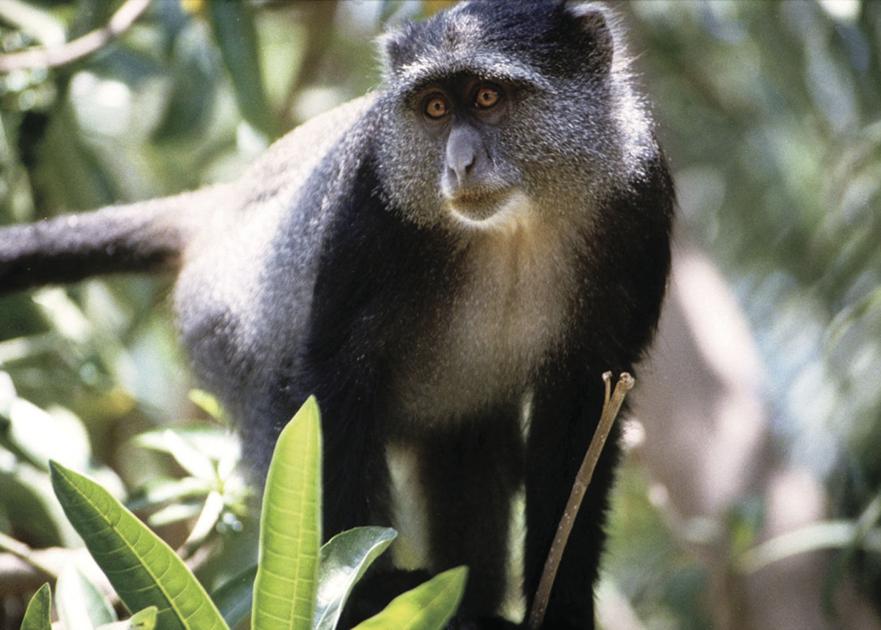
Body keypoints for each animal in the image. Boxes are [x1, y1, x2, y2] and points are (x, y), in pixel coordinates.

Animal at [0, 1, 673, 628]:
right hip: (226, 336)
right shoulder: (367, 195)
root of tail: (218, 217)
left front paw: (561, 608)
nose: (459, 162)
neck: (515, 227)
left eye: (488, 97)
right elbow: (332, 384)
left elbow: (583, 418)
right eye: (434, 108)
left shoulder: (639, 200)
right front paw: (366, 594)